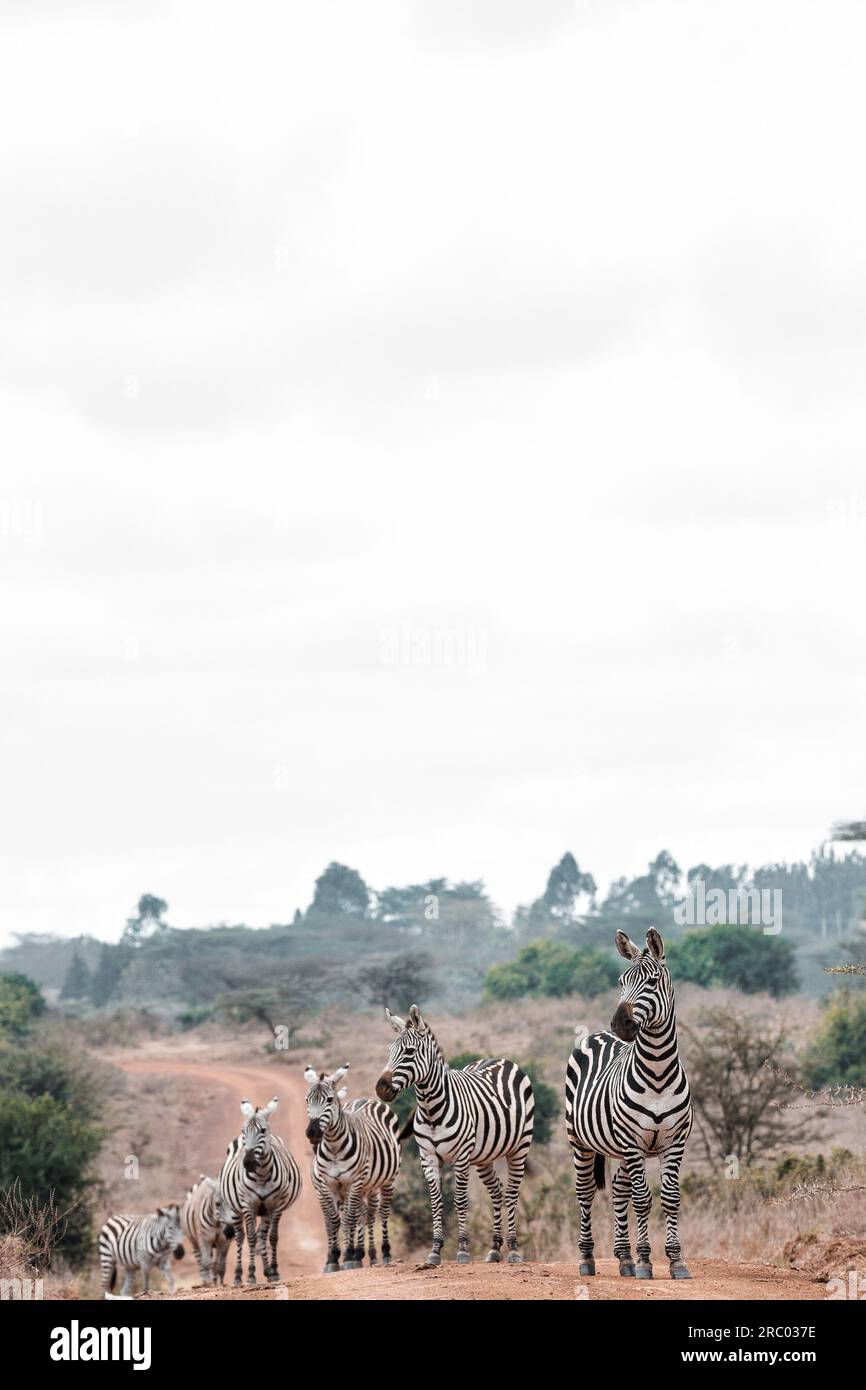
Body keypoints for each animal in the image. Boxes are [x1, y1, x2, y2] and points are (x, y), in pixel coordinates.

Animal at [218, 1097, 302, 1285]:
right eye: (243, 1131)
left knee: (263, 1237)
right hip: (235, 1209)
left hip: (264, 1211)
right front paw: (250, 1275)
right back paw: (238, 1275)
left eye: (263, 1131)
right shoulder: (248, 1205)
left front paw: (274, 1271)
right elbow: (250, 1238)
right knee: (241, 1236)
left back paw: (268, 1271)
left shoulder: (275, 1206)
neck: (262, 1175)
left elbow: (273, 1237)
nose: (248, 1162)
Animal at [303, 1063, 401, 1274]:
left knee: (380, 1213)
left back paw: (383, 1254)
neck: (333, 1147)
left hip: (387, 1181)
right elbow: (333, 1221)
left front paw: (348, 1257)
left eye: (329, 1100)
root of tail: (364, 1099)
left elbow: (349, 1219)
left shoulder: (353, 1183)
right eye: (307, 1100)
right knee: (364, 1213)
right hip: (365, 1186)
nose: (312, 1133)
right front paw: (333, 1259)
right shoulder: (327, 1185)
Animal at [376, 1005, 534, 1266]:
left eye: (409, 1052)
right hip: (483, 1157)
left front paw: (462, 1250)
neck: (431, 1110)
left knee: (511, 1193)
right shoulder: (427, 1157)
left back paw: (512, 1250)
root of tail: (502, 1059)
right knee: (496, 1191)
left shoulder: (460, 1157)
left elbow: (460, 1200)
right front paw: (435, 1250)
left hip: (519, 1148)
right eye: (389, 1051)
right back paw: (494, 1249)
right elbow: (436, 1201)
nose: (381, 1089)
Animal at [565, 928, 693, 1281]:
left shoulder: (674, 1142)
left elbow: (670, 1198)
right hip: (580, 1141)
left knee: (619, 1189)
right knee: (585, 1192)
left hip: (619, 1148)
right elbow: (643, 1199)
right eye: (621, 981)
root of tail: (595, 1034)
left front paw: (676, 1261)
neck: (658, 1073)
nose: (620, 1024)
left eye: (651, 981)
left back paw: (624, 1258)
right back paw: (587, 1258)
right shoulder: (634, 1142)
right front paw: (647, 1262)